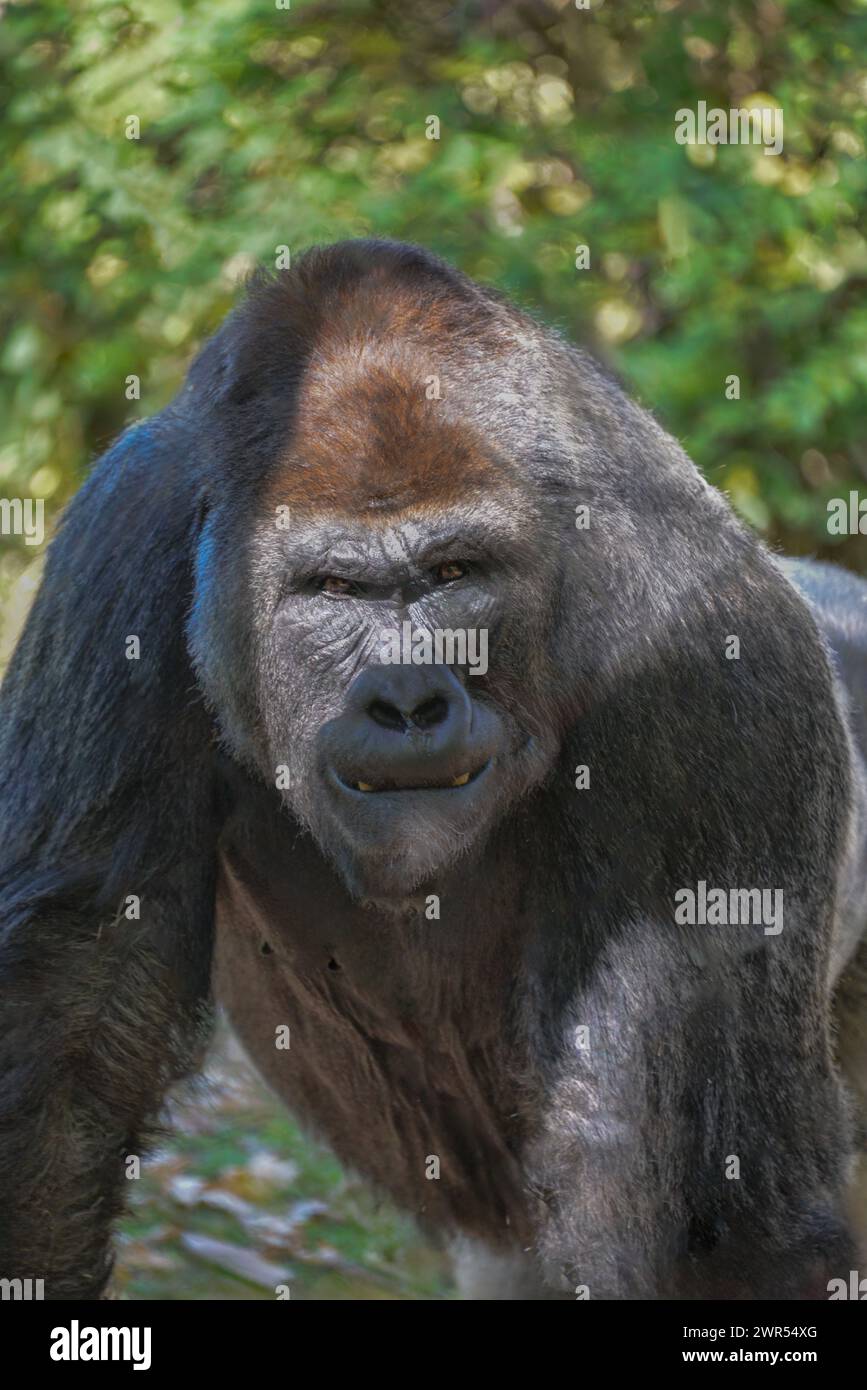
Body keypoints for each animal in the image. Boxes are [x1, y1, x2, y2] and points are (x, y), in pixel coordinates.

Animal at [1, 238, 865, 1299]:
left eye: (455, 574)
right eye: (334, 587)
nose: (409, 700)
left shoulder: (705, 636)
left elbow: (714, 1196)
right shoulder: (125, 540)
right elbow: (71, 1002)